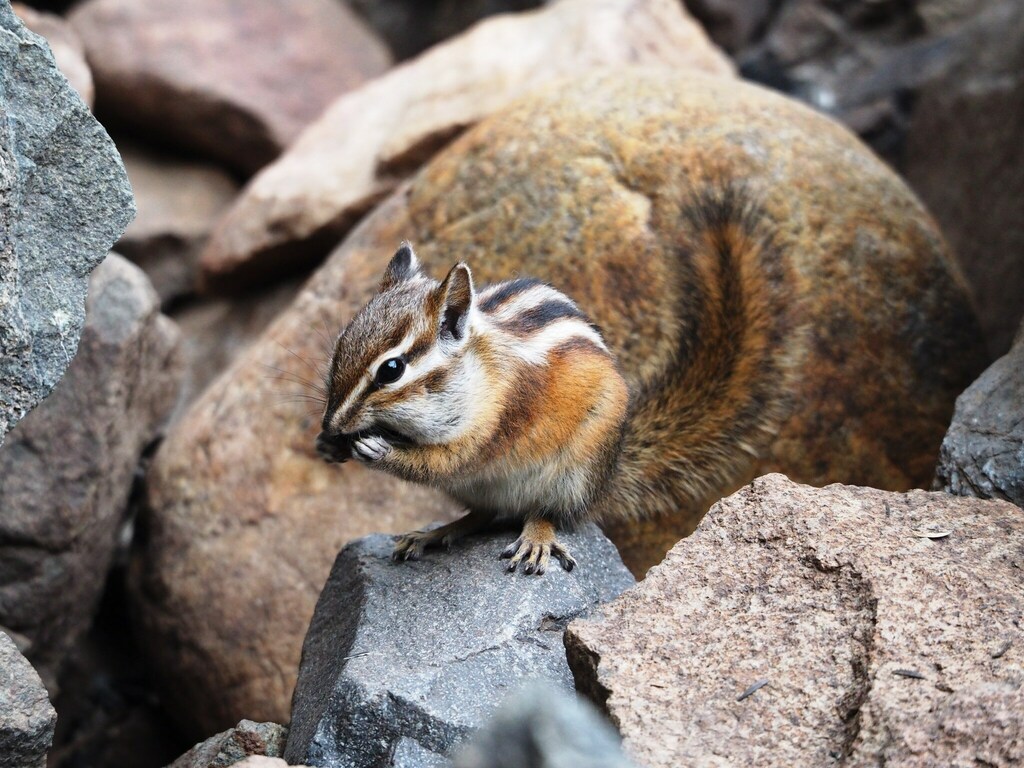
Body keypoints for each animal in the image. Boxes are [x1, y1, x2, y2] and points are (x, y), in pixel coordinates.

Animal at [315, 186, 799, 575]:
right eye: (339, 343)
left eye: (391, 370)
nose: (331, 425)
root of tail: (609, 475)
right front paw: (329, 447)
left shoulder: (495, 421)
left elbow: (442, 461)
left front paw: (376, 449)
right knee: (481, 517)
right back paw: (433, 534)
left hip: (573, 473)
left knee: (549, 512)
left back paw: (536, 537)